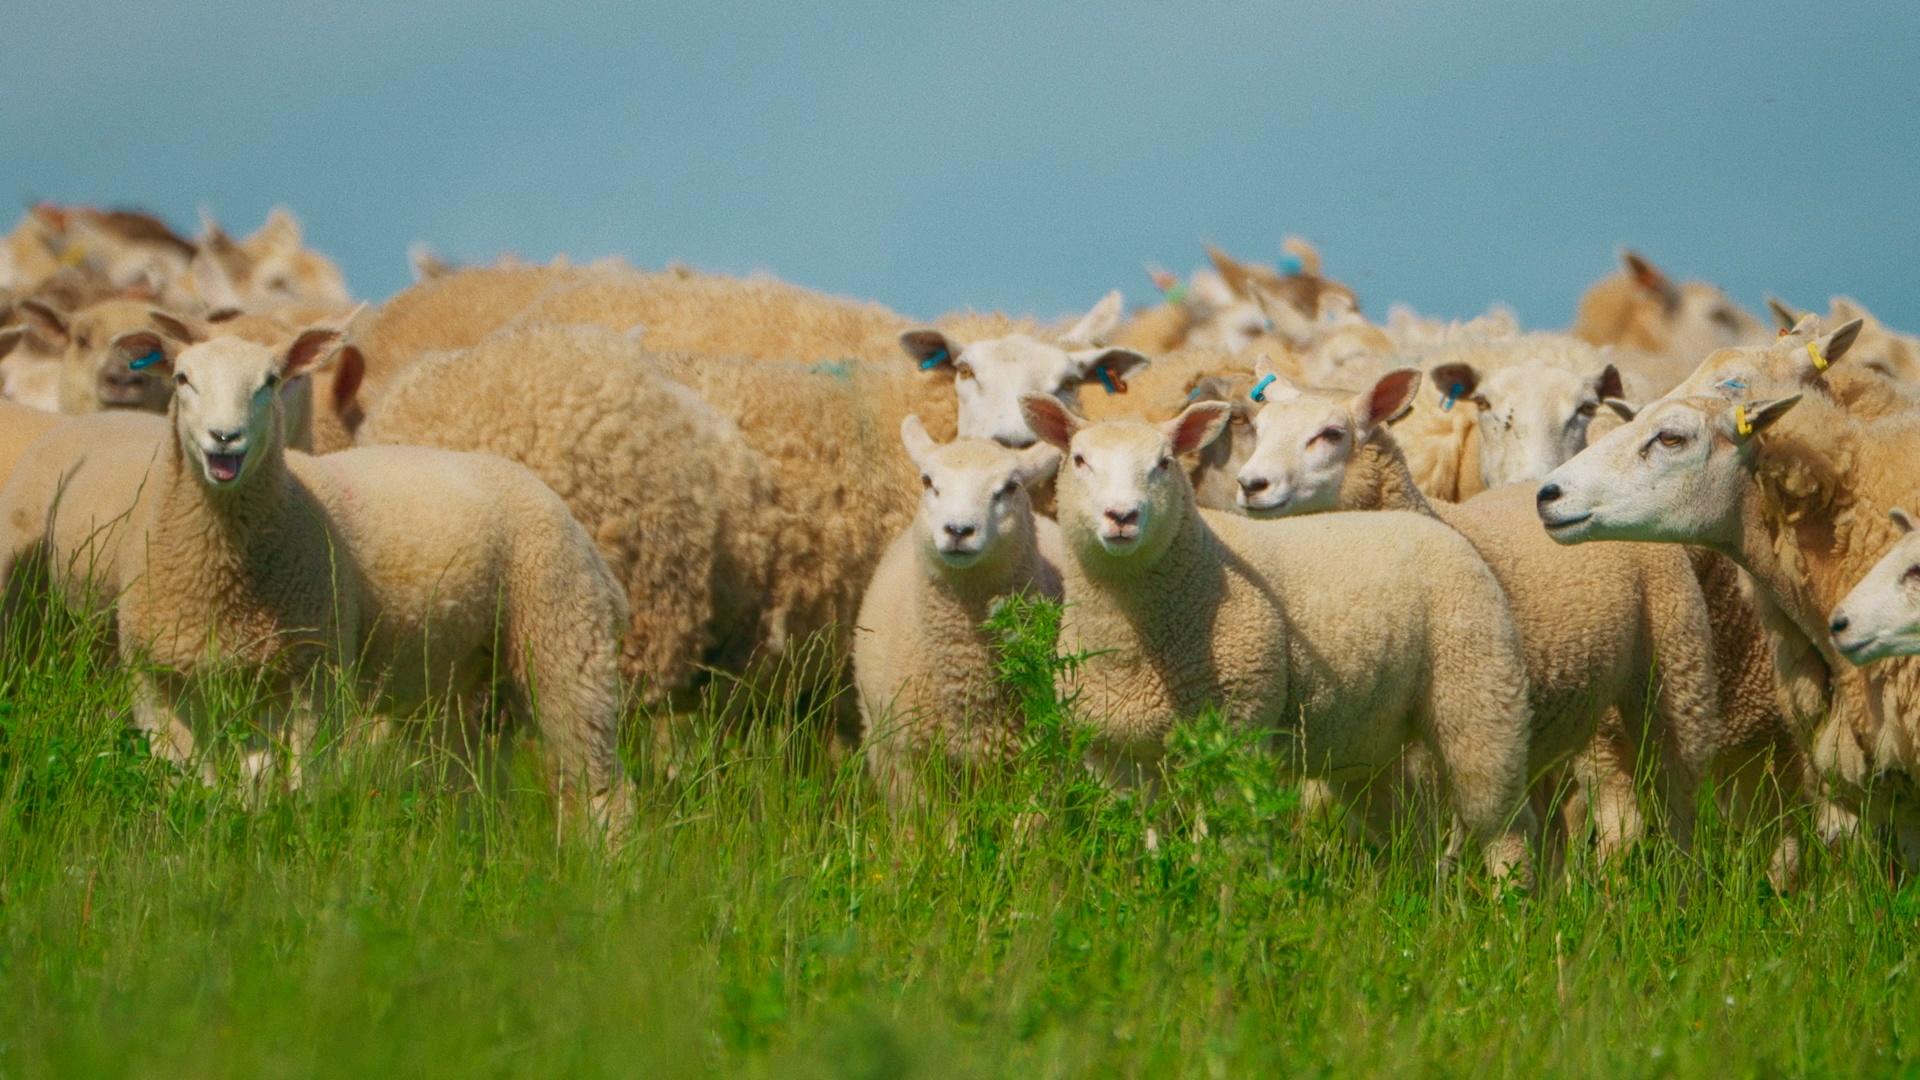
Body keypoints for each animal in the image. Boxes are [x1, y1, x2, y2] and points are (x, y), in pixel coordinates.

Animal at [106, 323, 631, 826]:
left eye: (270, 381)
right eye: (182, 378)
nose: (224, 437)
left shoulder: (314, 671)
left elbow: (301, 781)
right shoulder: (158, 680)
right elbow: (195, 785)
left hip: (562, 638)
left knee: (599, 781)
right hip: (448, 674)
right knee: (470, 774)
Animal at [1019, 393, 1537, 886]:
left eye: (1164, 463)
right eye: (1080, 460)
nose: (1122, 516)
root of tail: (1432, 523)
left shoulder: (1234, 731)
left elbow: (1216, 843)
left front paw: (1208, 897)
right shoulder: (1113, 752)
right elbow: (1146, 834)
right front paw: (1151, 883)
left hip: (1478, 696)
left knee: (1505, 825)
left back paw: (1510, 901)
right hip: (1367, 741)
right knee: (1407, 830)